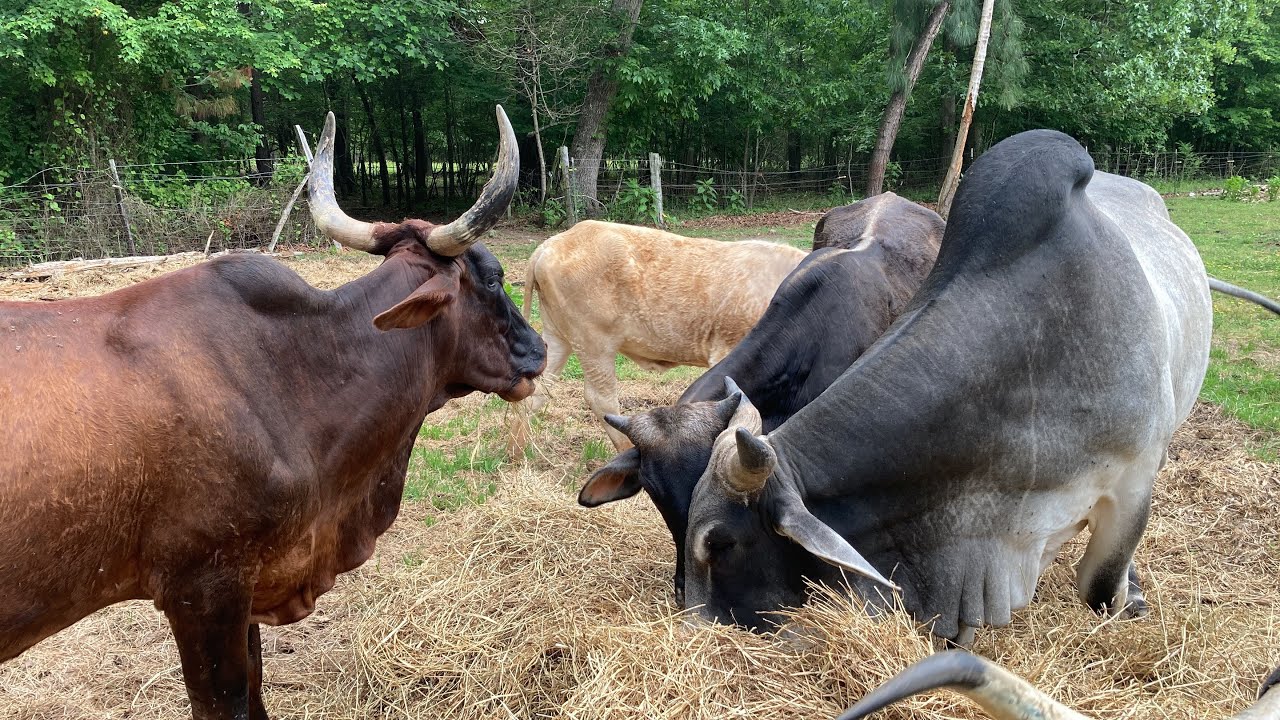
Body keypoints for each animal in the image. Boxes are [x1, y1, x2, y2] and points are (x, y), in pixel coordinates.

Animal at [0, 106, 543, 720]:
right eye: (494, 276)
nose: (539, 350)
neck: (289, 371)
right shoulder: (204, 589)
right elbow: (231, 699)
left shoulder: (253, 584)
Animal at [519, 220, 807, 449]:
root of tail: (551, 244)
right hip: (593, 342)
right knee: (601, 399)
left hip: (558, 336)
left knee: (538, 390)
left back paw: (520, 451)